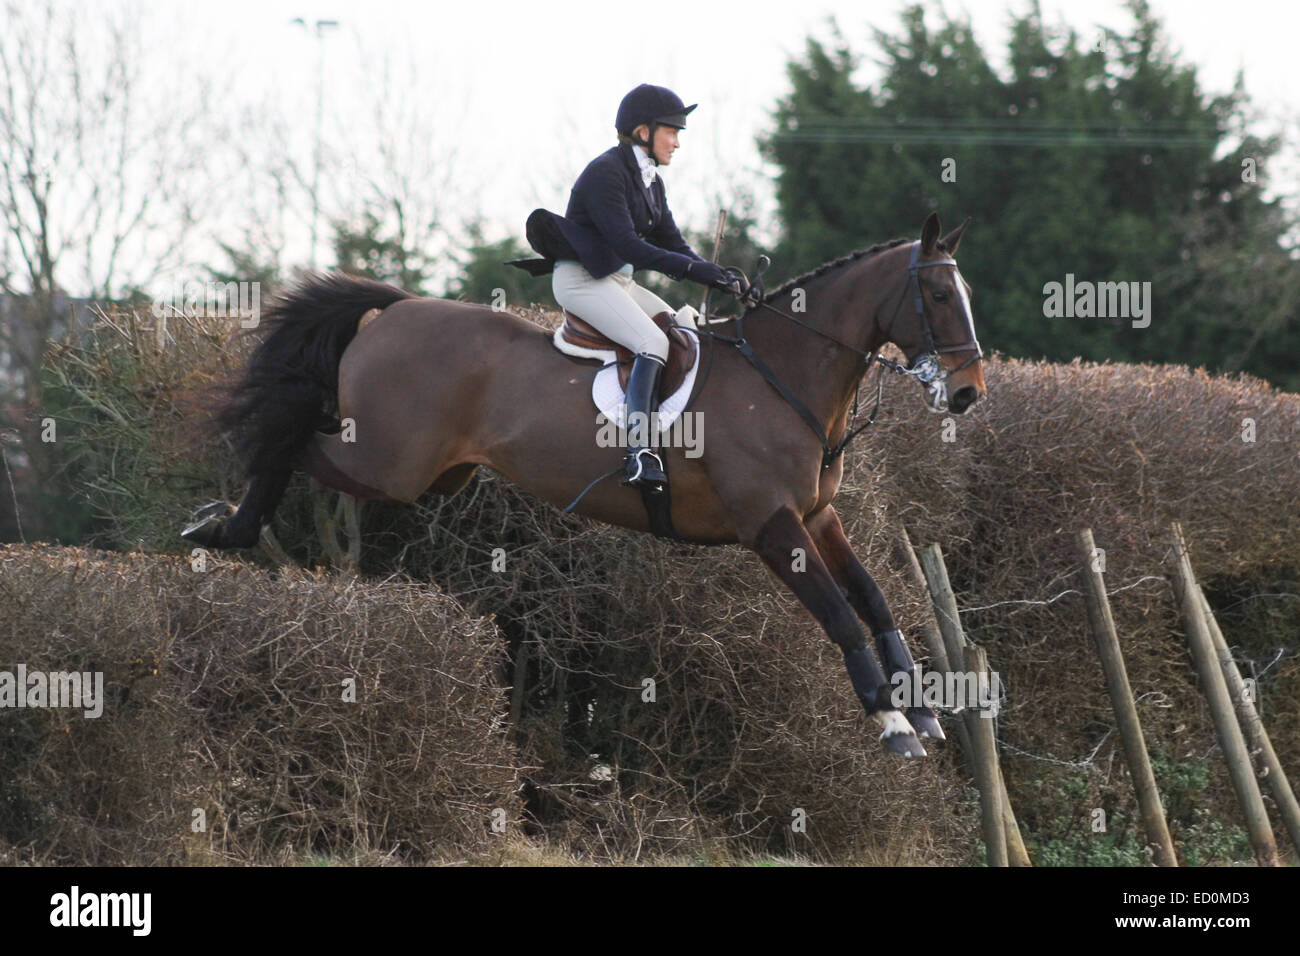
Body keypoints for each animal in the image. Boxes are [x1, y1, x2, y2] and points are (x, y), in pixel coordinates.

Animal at [183, 212, 985, 757]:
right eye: (940, 296)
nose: (969, 393)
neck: (784, 375)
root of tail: (399, 307)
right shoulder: (770, 526)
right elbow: (839, 614)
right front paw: (890, 720)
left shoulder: (817, 518)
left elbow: (874, 599)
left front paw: (921, 708)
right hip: (387, 462)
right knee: (289, 437)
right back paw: (224, 524)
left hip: (433, 476)